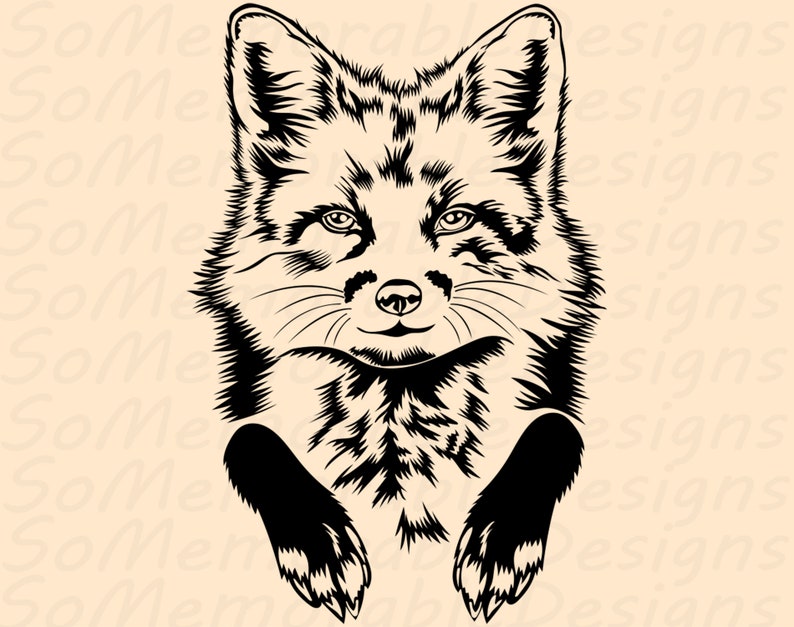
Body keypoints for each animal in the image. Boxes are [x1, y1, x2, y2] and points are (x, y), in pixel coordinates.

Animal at [194, 3, 601, 622]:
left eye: (454, 218)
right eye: (340, 220)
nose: (398, 298)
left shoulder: (552, 402)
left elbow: (554, 428)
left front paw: (499, 541)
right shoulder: (248, 408)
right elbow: (251, 437)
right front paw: (321, 541)